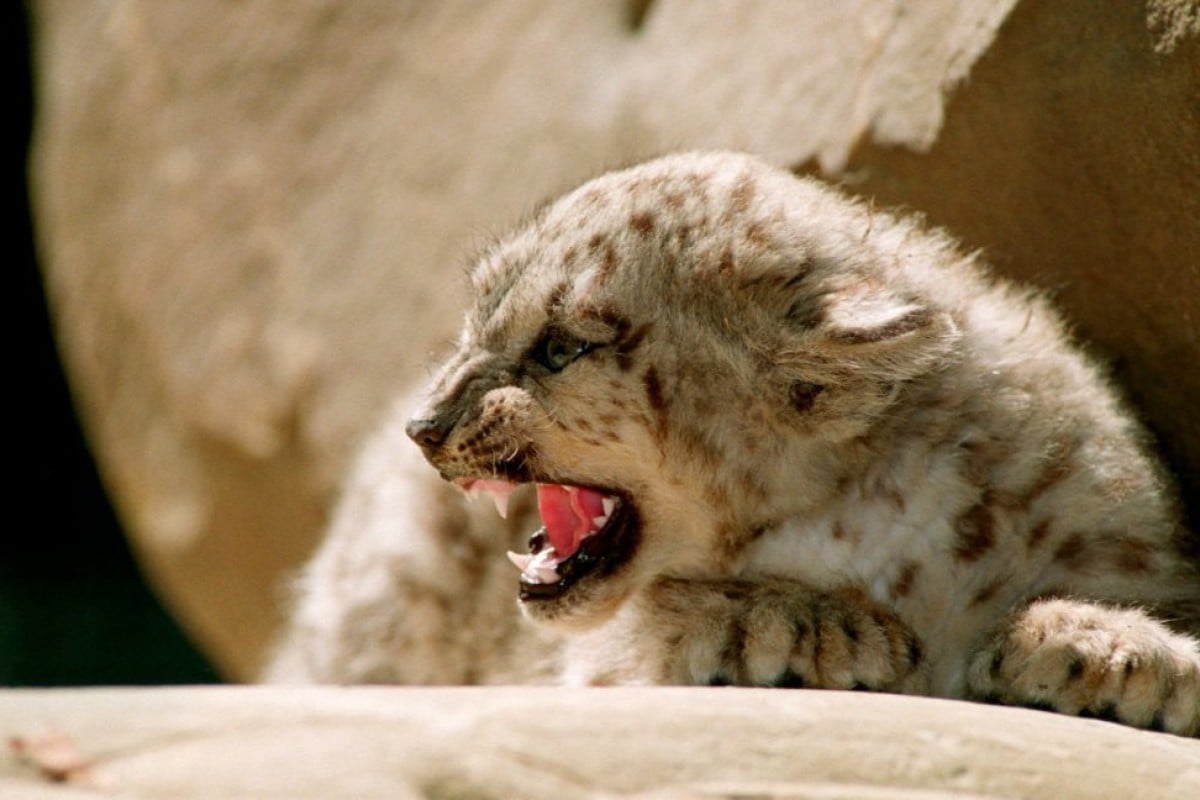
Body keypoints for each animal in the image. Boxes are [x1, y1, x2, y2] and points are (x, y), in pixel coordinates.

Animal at [266, 151, 1200, 736]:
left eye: (562, 347)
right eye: (476, 319)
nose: (424, 426)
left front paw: (1110, 651)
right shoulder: (592, 665)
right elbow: (641, 633)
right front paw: (809, 627)